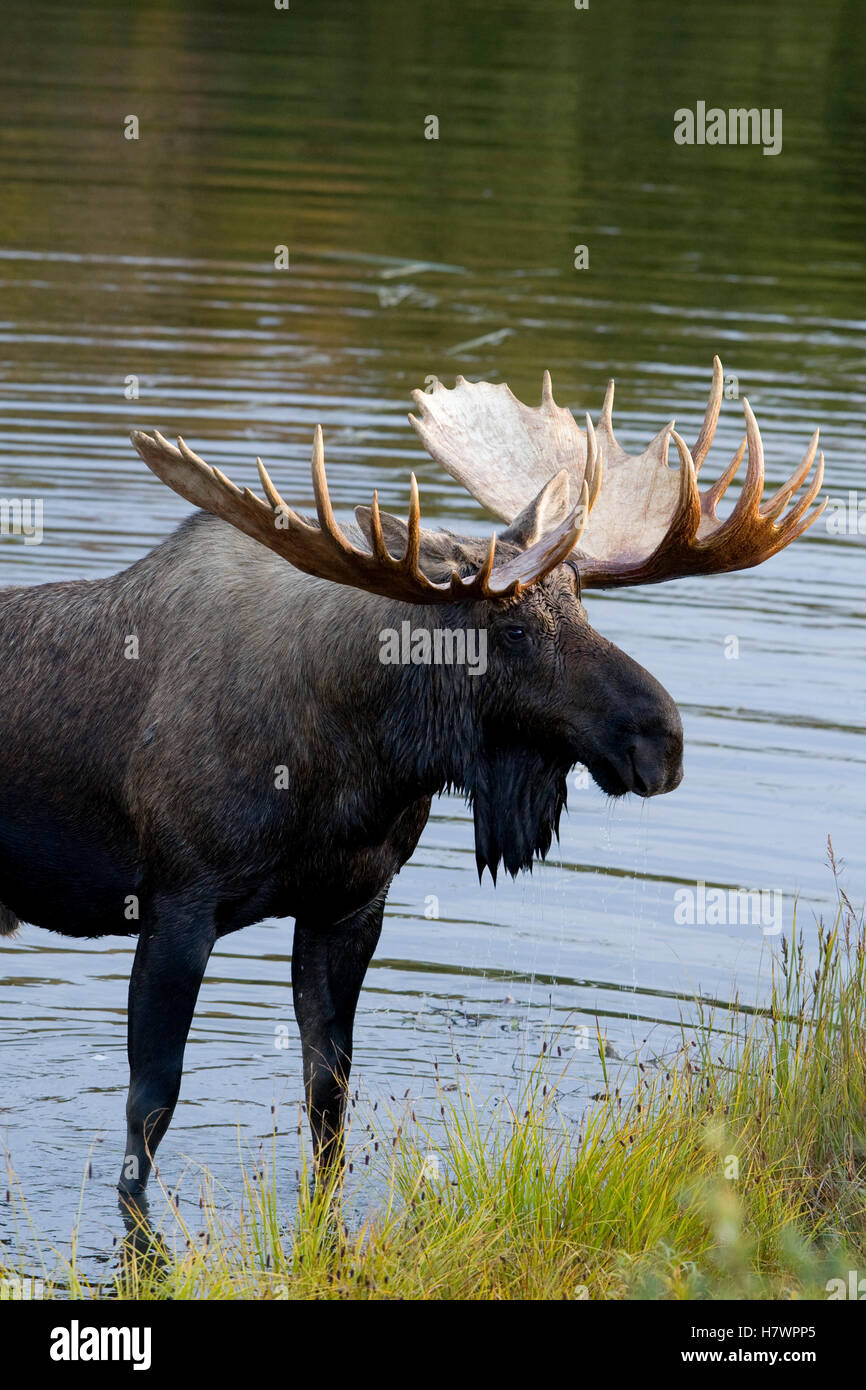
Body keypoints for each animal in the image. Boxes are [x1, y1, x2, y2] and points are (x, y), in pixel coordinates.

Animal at [0, 357, 824, 1202]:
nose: (663, 741)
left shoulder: (351, 905)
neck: (350, 767)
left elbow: (328, 1092)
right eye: (513, 629)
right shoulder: (177, 902)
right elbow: (150, 1110)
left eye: (584, 607)